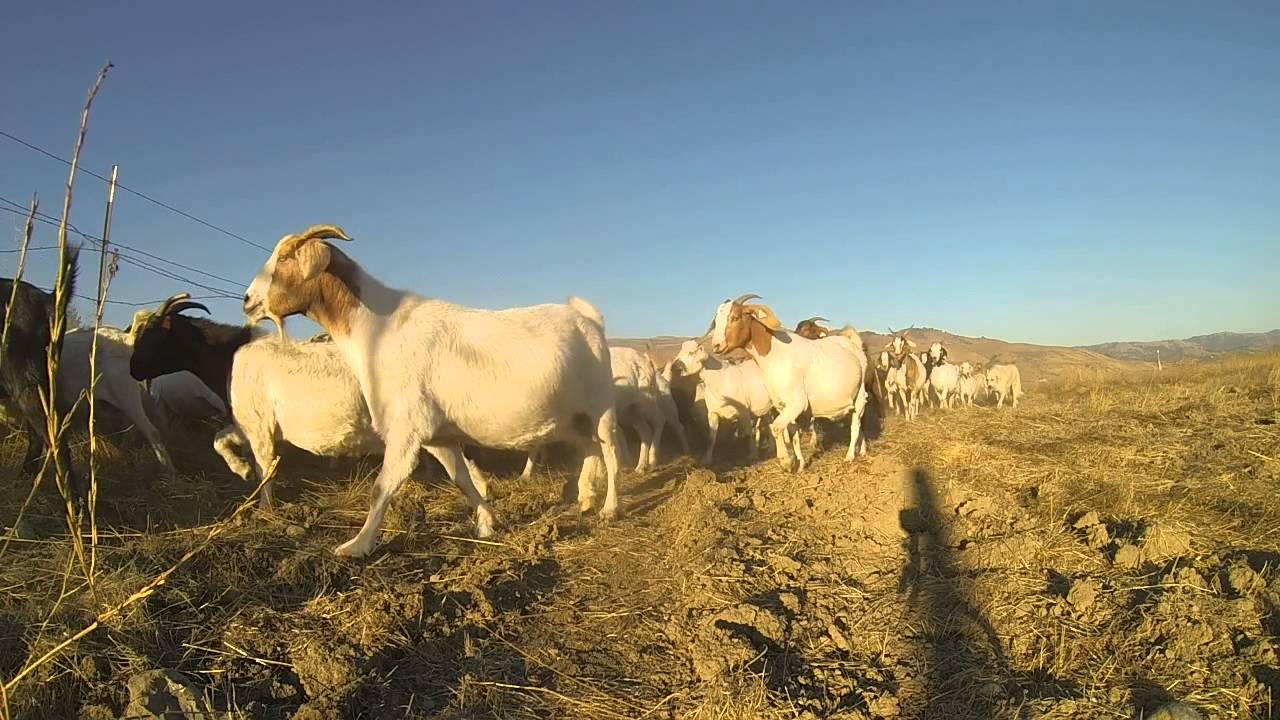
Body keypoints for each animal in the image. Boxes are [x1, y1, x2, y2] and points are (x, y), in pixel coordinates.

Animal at [242, 224, 621, 558]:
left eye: (285, 257)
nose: (247, 301)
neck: (378, 329)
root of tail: (588, 319)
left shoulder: (406, 427)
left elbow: (382, 487)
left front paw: (357, 546)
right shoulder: (439, 435)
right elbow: (462, 479)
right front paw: (487, 524)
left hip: (601, 405)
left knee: (611, 452)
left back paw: (609, 508)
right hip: (572, 416)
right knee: (590, 448)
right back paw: (586, 498)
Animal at [709, 294, 868, 471]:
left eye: (735, 317)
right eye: (716, 320)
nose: (716, 346)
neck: (775, 354)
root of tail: (853, 344)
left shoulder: (797, 403)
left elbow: (776, 427)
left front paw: (786, 461)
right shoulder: (781, 406)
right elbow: (793, 434)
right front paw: (800, 465)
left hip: (860, 394)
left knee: (855, 425)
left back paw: (850, 456)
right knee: (858, 423)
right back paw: (862, 450)